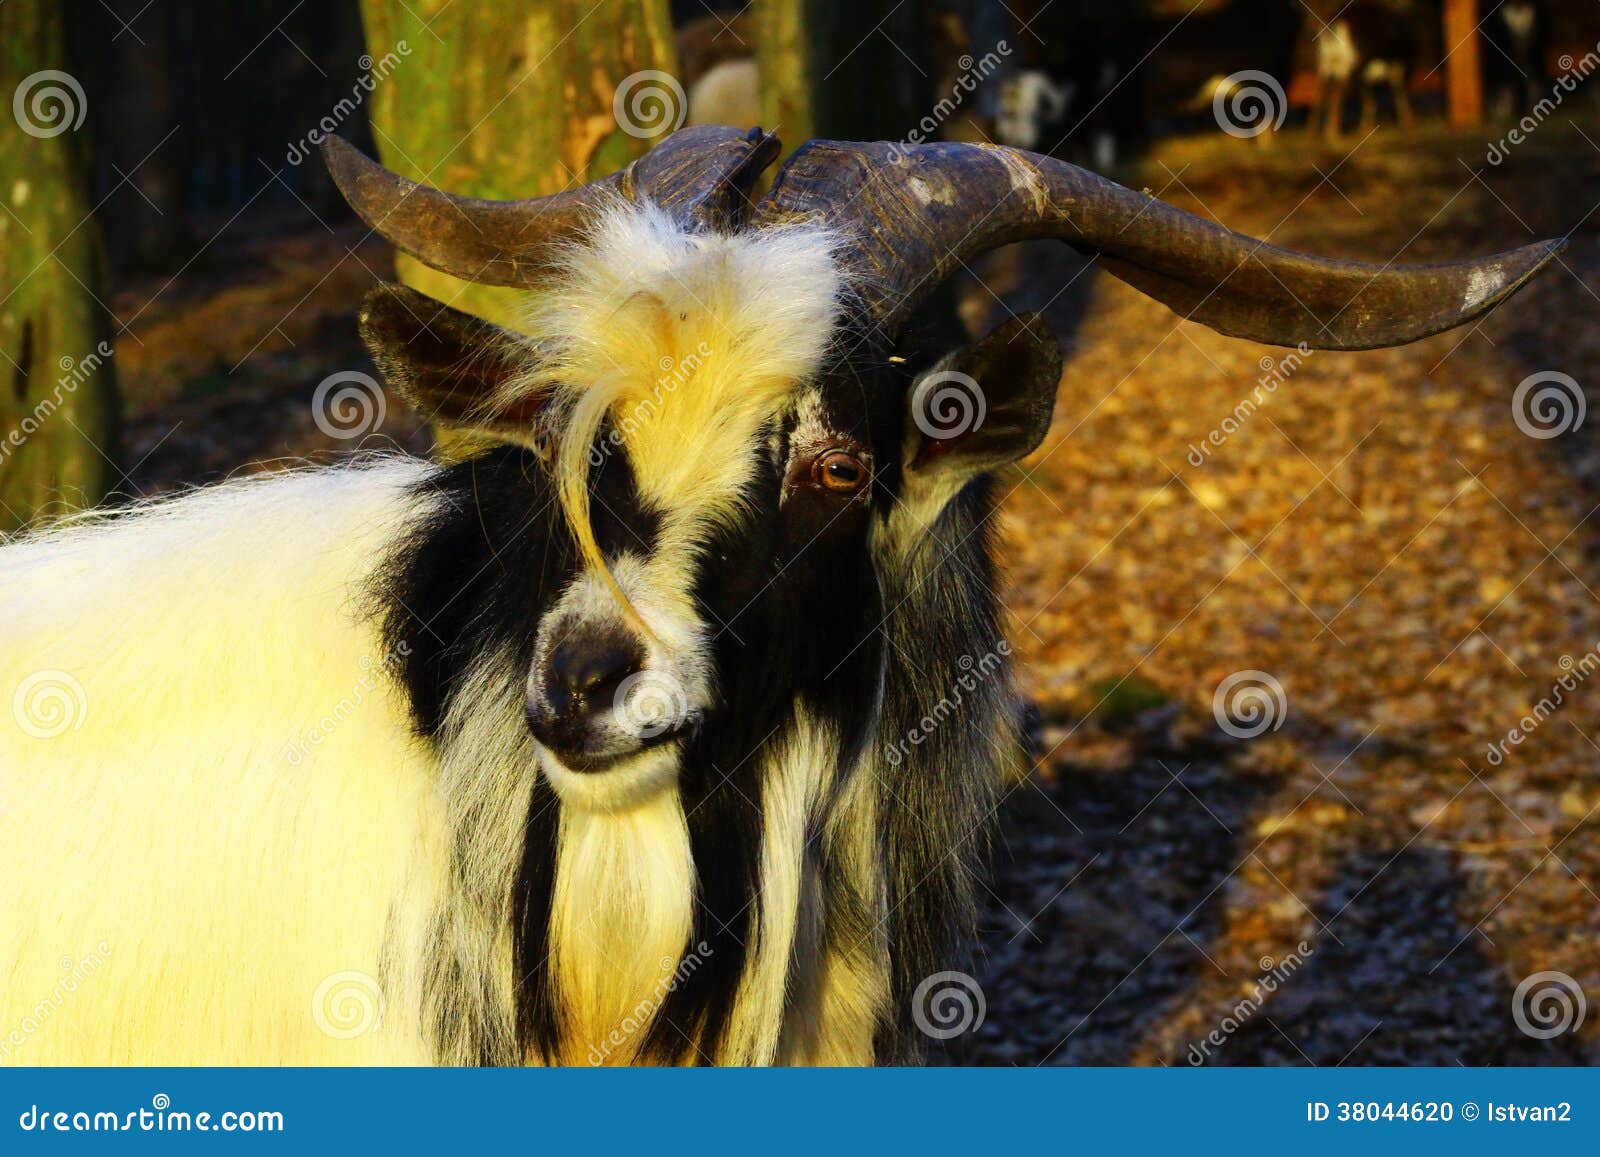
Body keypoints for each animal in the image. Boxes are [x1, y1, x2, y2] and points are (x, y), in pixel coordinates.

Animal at [1314, 1, 1419, 141]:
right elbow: (1398, 94)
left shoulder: (1363, 74)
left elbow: (1369, 100)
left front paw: (1365, 129)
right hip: (1347, 65)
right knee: (1337, 93)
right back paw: (1331, 133)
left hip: (1327, 64)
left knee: (1321, 91)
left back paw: (1313, 133)